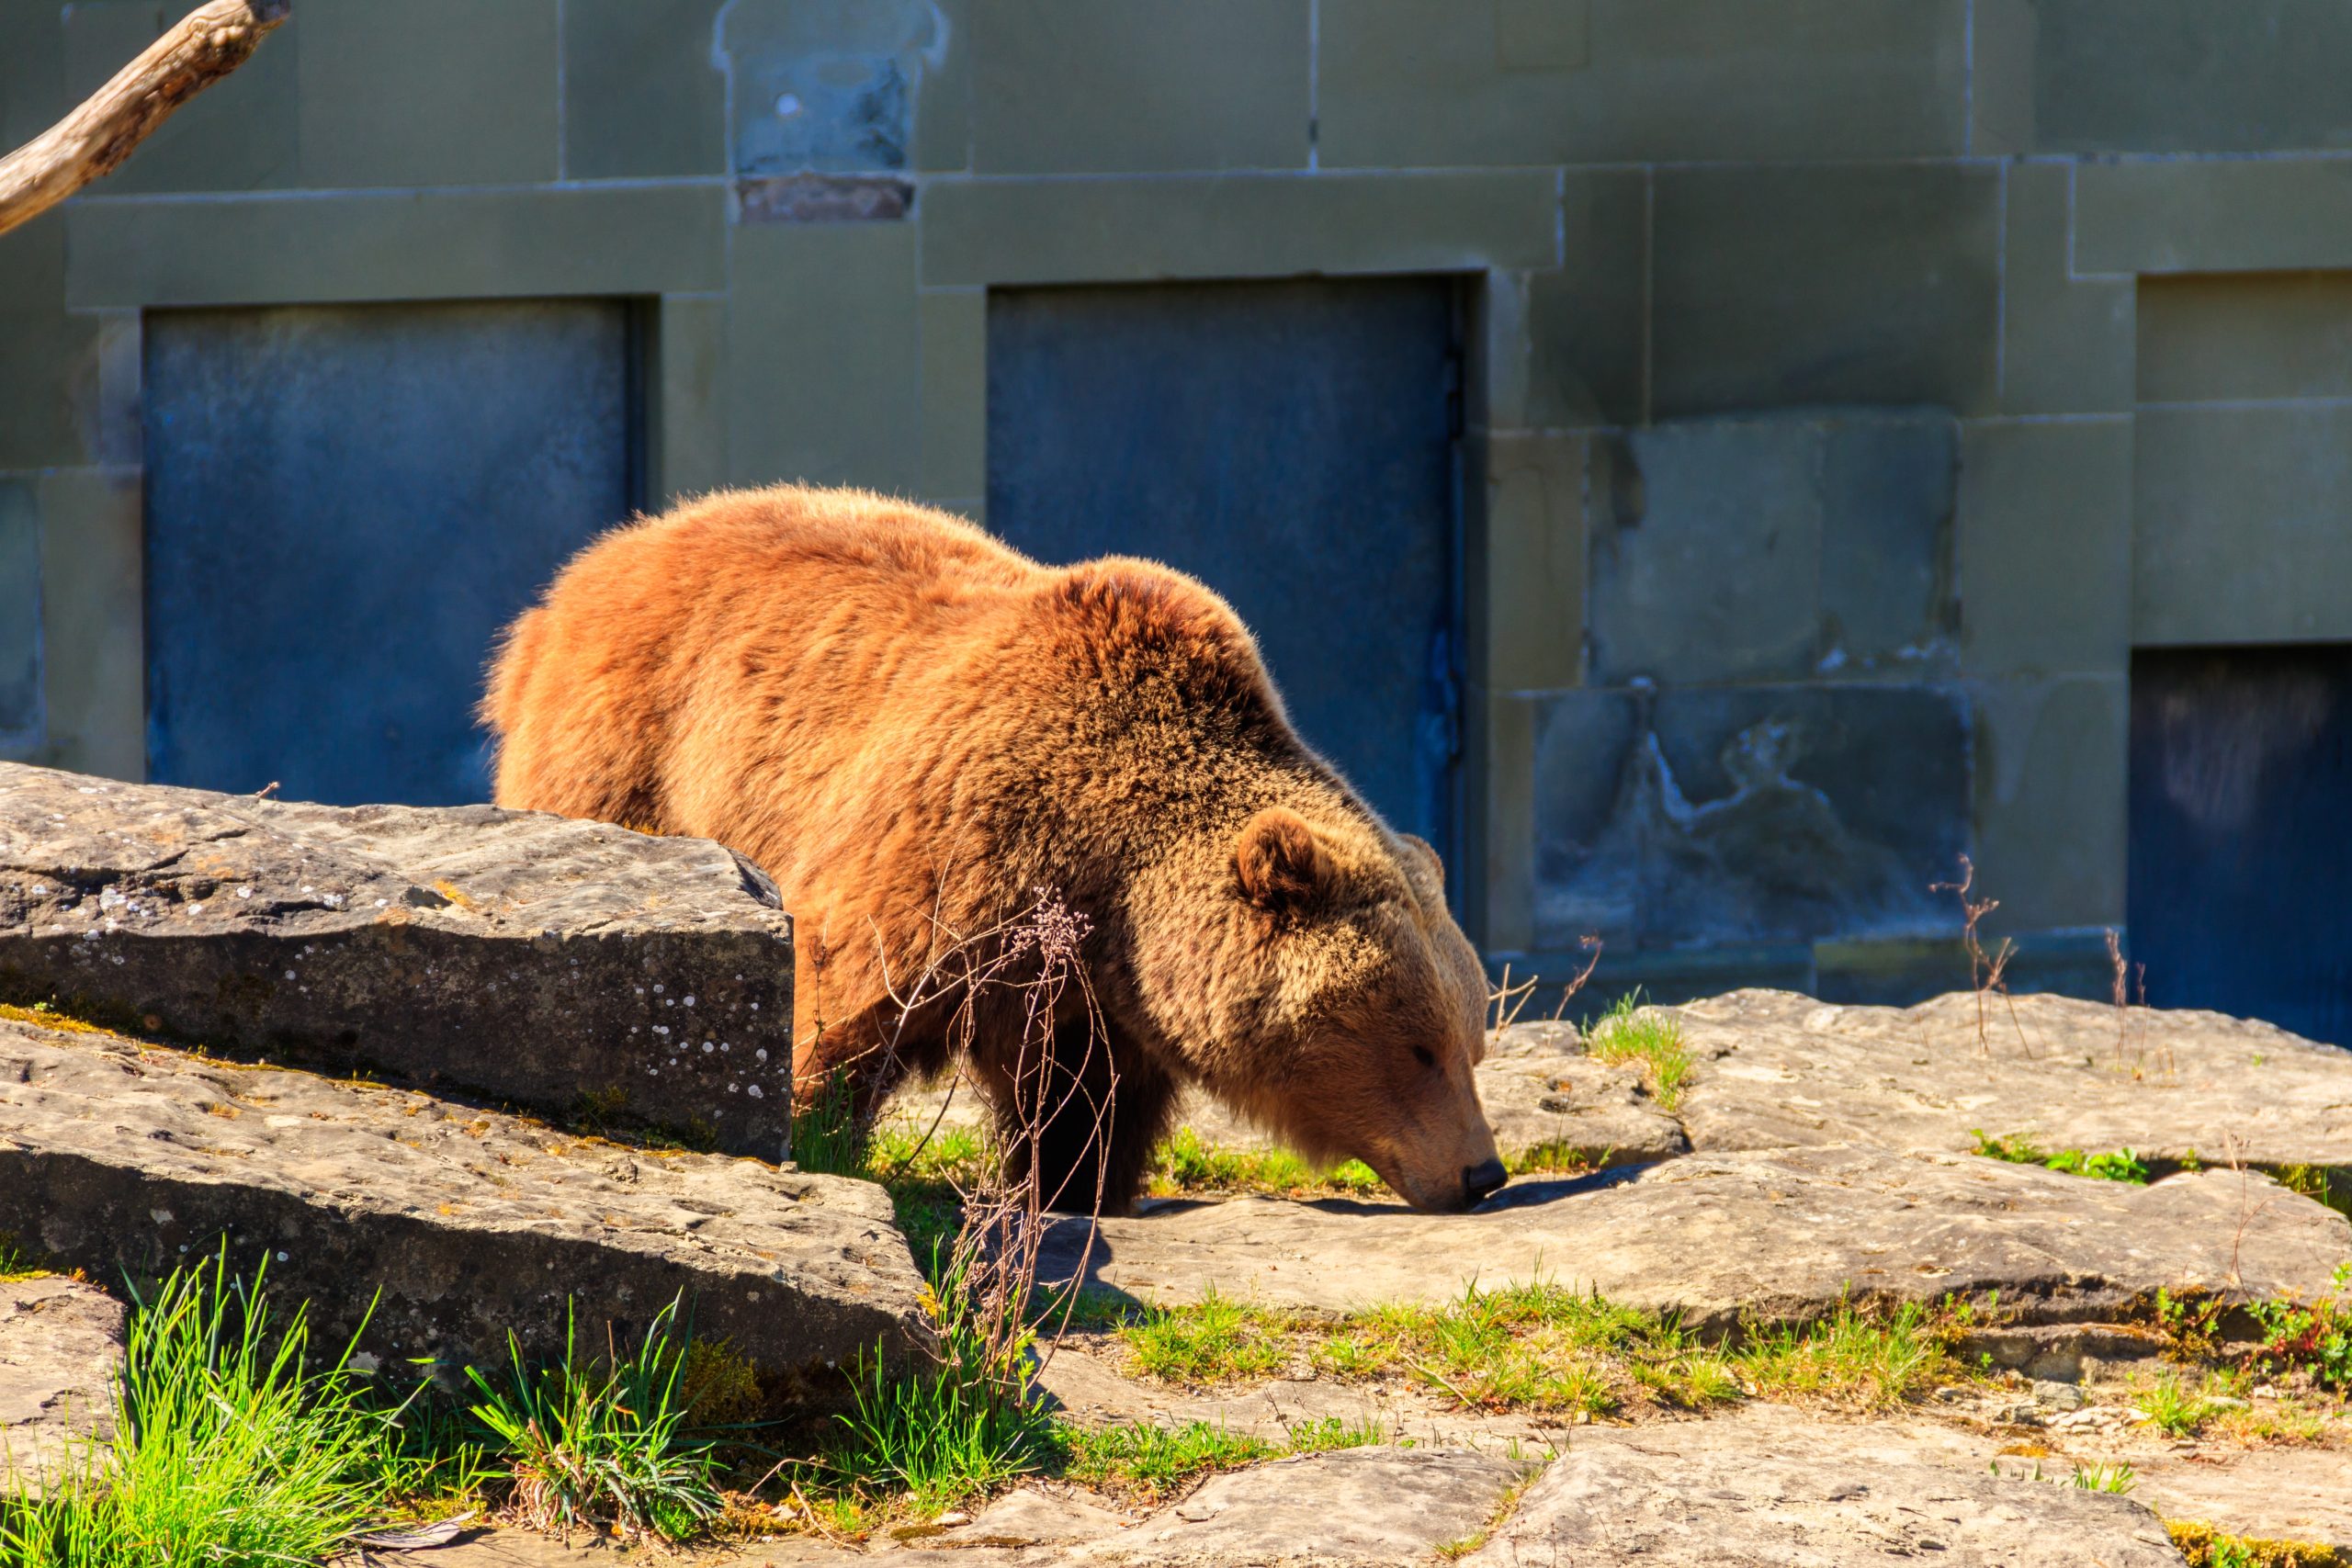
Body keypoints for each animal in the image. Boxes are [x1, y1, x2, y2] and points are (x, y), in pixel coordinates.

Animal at [481, 484, 1506, 1215]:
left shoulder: (1098, 987)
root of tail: (590, 566)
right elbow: (836, 1004)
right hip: (628, 755)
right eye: (1417, 1045)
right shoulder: (951, 857)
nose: (1482, 1173)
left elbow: (1082, 1103)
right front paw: (809, 1137)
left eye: (1471, 1039)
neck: (1111, 871)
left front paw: (1072, 1188)